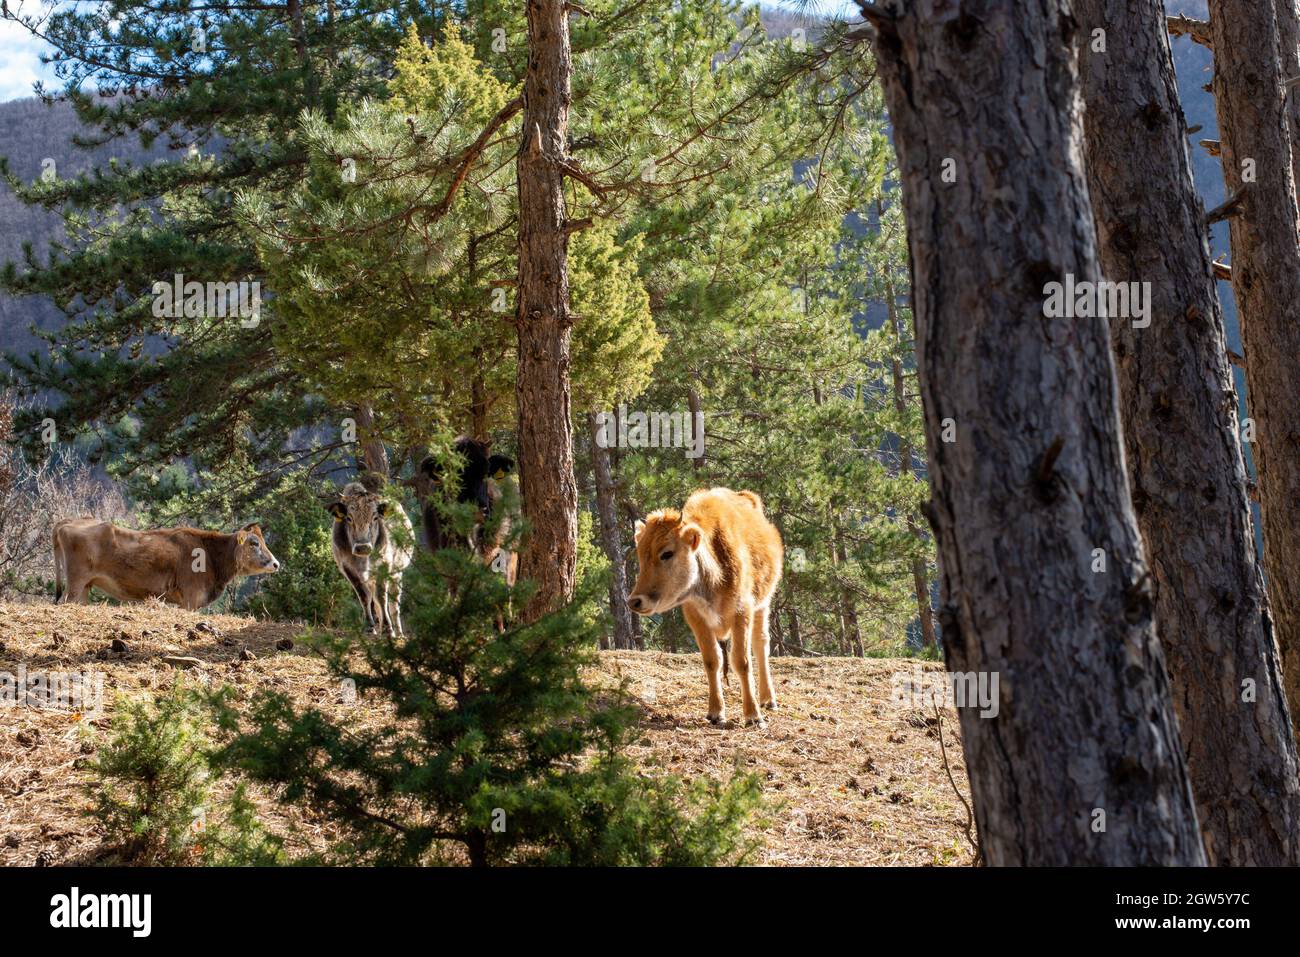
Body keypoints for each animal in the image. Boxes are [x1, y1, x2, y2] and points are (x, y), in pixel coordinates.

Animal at [53, 518, 280, 610]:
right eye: (254, 543)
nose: (276, 564)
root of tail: (68, 521)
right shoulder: (191, 598)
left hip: (84, 587)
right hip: (75, 583)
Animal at [327, 482, 415, 636]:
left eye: (375, 518)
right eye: (349, 518)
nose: (363, 547)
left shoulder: (383, 566)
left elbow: (382, 598)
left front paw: (387, 628)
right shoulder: (348, 569)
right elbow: (364, 597)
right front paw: (369, 626)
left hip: (397, 573)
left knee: (394, 604)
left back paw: (399, 632)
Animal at [628, 488, 783, 728]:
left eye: (667, 553)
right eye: (640, 555)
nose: (635, 601)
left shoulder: (742, 612)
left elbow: (742, 661)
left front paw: (753, 716)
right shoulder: (696, 617)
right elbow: (712, 660)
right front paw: (716, 713)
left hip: (763, 604)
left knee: (761, 645)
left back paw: (768, 699)